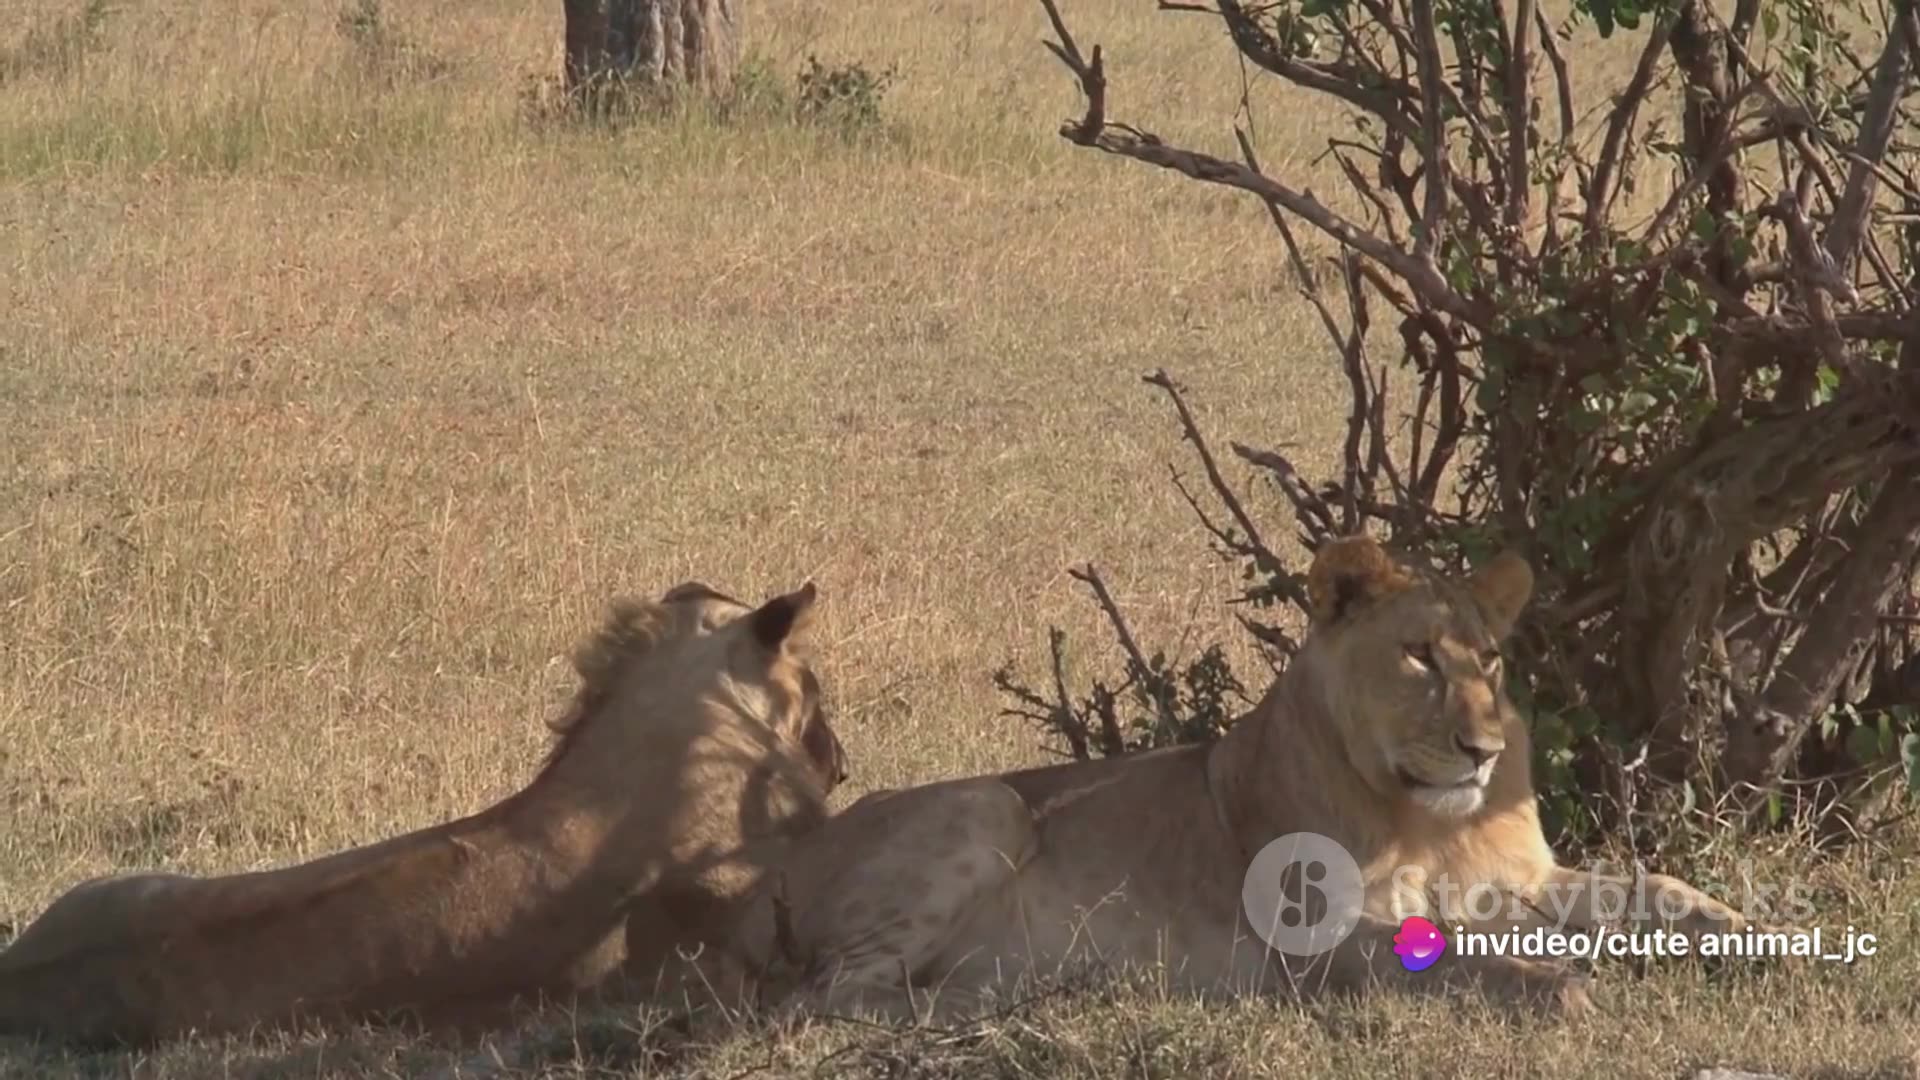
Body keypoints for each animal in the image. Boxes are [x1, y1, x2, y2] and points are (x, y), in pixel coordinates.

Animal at [710, 536, 1768, 1021]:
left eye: (1491, 661)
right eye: (1419, 656)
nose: (1480, 751)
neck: (1430, 820)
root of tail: (770, 876)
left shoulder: (1529, 880)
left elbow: (1658, 888)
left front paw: (1754, 936)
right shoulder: (1317, 942)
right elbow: (1468, 958)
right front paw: (1569, 987)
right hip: (989, 806)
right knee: (826, 1000)